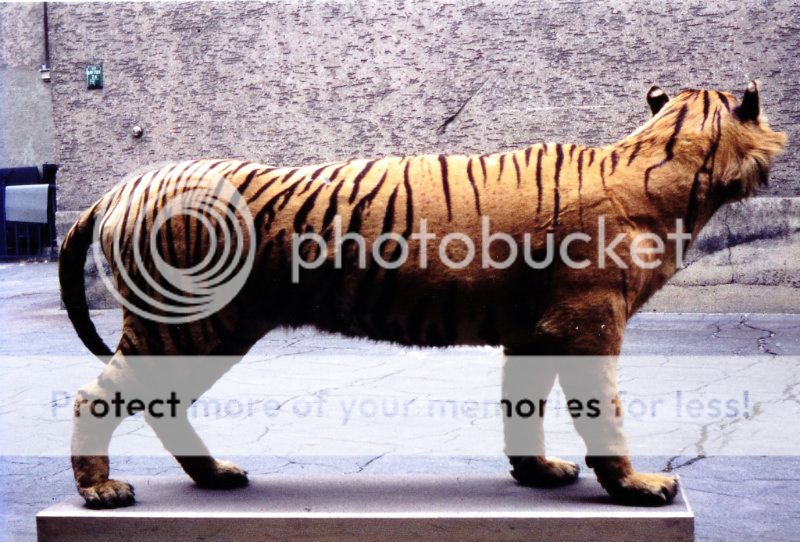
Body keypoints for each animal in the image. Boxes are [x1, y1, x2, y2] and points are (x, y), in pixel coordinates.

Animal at [59, 81, 786, 509]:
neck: (669, 158)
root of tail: (119, 187)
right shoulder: (589, 325)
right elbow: (603, 415)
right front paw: (637, 485)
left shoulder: (534, 334)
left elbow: (522, 408)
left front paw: (537, 472)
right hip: (188, 326)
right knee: (97, 395)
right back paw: (103, 490)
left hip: (212, 332)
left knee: (158, 402)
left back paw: (213, 475)